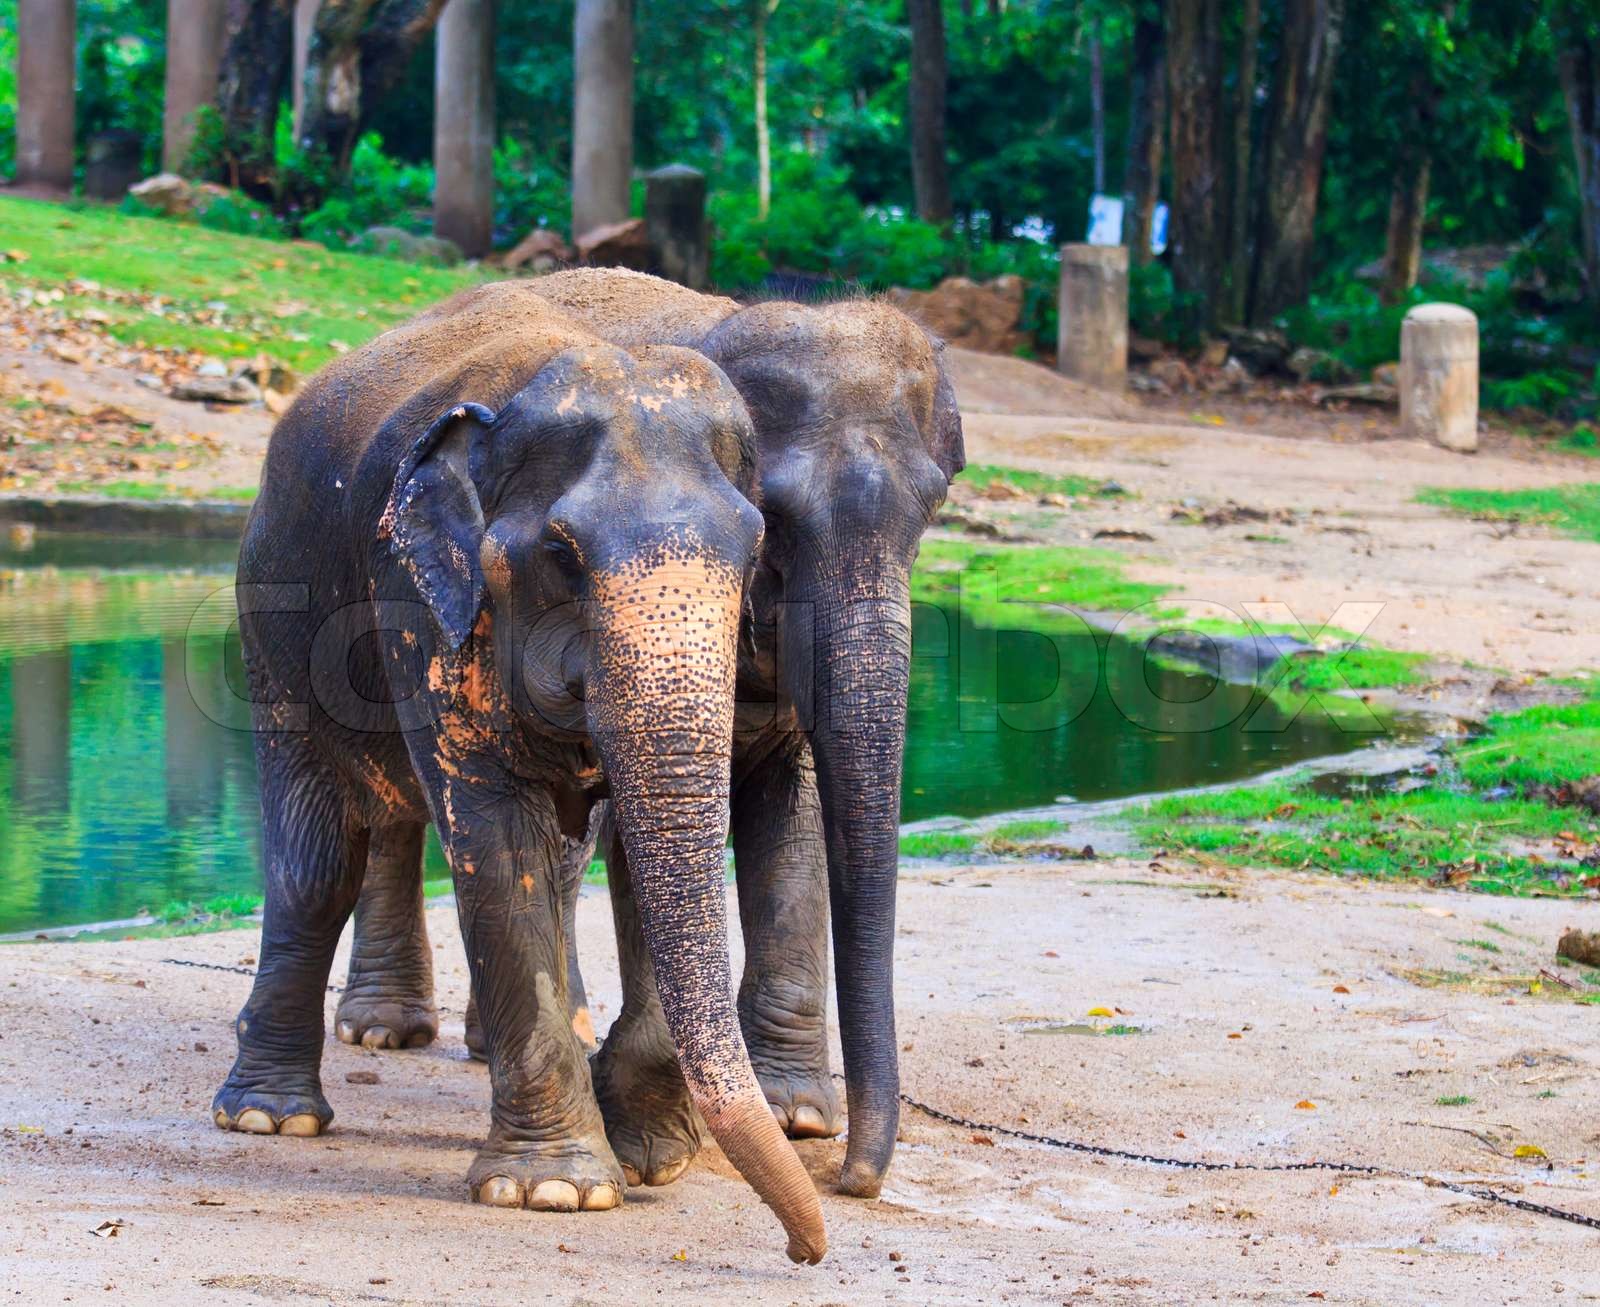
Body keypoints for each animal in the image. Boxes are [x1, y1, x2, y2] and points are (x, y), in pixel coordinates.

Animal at [211, 281, 826, 1264]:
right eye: (562, 555)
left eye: (755, 548)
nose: (808, 1251)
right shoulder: (416, 596)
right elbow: (497, 844)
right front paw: (555, 1190)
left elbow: (638, 855)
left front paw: (648, 1160)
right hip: (269, 612)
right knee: (316, 859)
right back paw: (271, 1117)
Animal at [340, 269, 966, 1201]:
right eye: (774, 517)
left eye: (931, 511)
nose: (853, 1179)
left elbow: (793, 808)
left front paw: (794, 1116)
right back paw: (385, 1030)